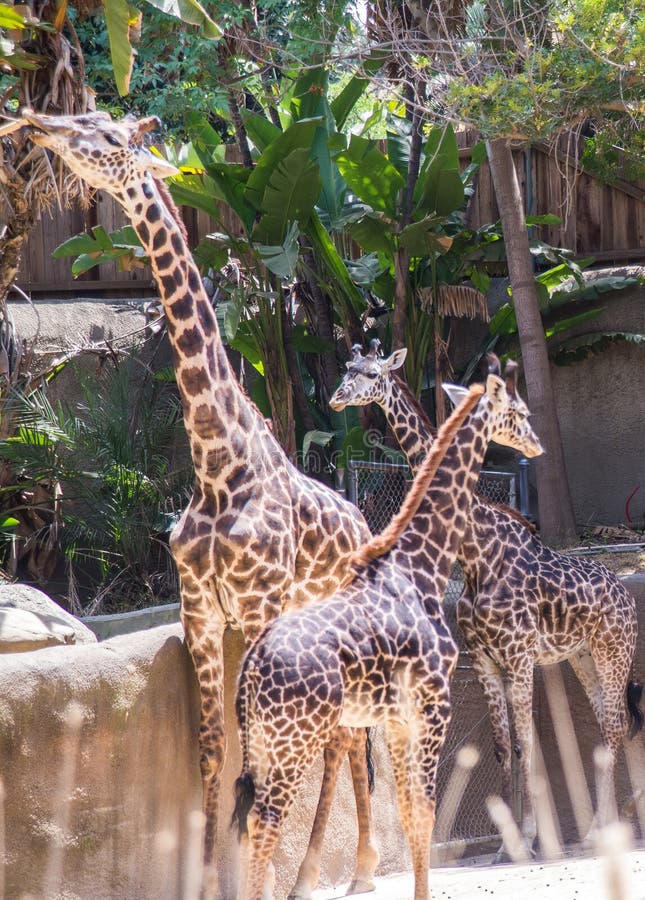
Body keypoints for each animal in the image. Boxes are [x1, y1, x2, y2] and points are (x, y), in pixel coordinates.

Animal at [22, 109, 379, 899]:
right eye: (84, 117)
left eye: (107, 136)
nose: (41, 125)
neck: (217, 462)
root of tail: (367, 526)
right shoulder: (199, 611)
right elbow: (216, 748)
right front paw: (214, 881)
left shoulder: (260, 606)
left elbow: (260, 757)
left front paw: (253, 882)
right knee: (340, 731)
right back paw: (334, 869)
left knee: (340, 732)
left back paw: (350, 868)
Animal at [232, 359, 544, 900]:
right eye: (519, 411)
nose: (537, 444)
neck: (423, 562)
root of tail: (251, 665)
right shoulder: (432, 703)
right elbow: (424, 813)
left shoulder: (398, 718)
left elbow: (406, 810)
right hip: (295, 738)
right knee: (267, 819)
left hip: (264, 740)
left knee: (254, 820)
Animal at [330, 341, 644, 853]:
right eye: (347, 368)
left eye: (373, 373)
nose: (337, 398)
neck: (476, 551)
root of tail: (625, 591)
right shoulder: (482, 658)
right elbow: (502, 746)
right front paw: (506, 843)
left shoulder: (518, 655)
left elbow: (526, 743)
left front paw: (534, 838)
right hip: (581, 656)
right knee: (609, 724)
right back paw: (606, 829)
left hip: (613, 651)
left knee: (616, 724)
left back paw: (603, 830)